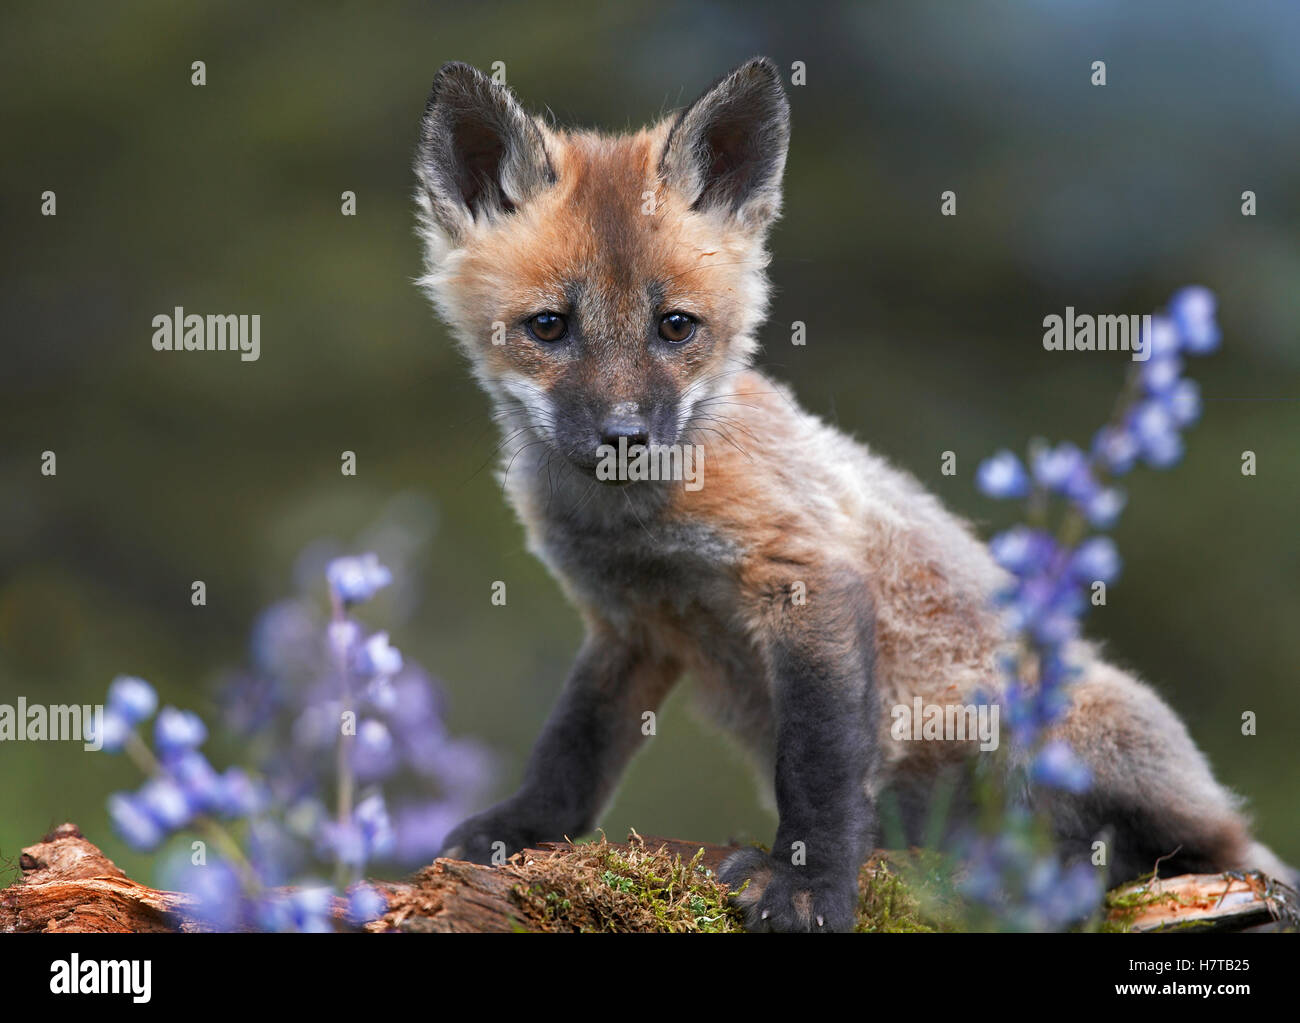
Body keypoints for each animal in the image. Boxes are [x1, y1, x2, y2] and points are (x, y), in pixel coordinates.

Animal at [412, 57, 1291, 931]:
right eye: (549, 326)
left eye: (675, 326)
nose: (625, 437)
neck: (635, 530)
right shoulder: (629, 624)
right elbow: (572, 748)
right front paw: (516, 831)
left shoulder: (807, 574)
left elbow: (817, 765)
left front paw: (806, 883)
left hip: (1061, 728)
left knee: (1176, 850)